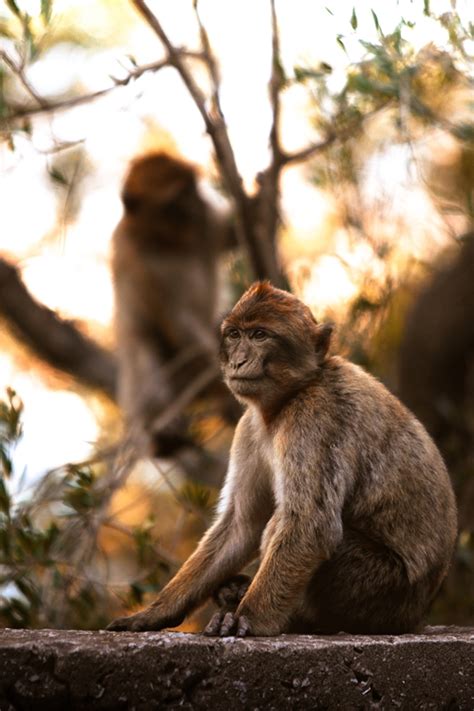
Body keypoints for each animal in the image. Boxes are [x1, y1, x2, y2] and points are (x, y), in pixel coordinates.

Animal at [107, 281, 457, 636]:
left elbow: (310, 525)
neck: (292, 394)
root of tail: (415, 615)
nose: (238, 361)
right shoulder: (249, 427)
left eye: (260, 335)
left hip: (378, 588)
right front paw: (156, 612)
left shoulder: (315, 418)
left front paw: (248, 619)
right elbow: (242, 523)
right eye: (234, 334)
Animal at [112, 151, 237, 462]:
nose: (194, 206)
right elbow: (177, 324)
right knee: (144, 351)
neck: (169, 242)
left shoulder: (206, 225)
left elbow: (229, 234)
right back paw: (161, 430)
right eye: (174, 202)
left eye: (191, 189)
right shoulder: (142, 262)